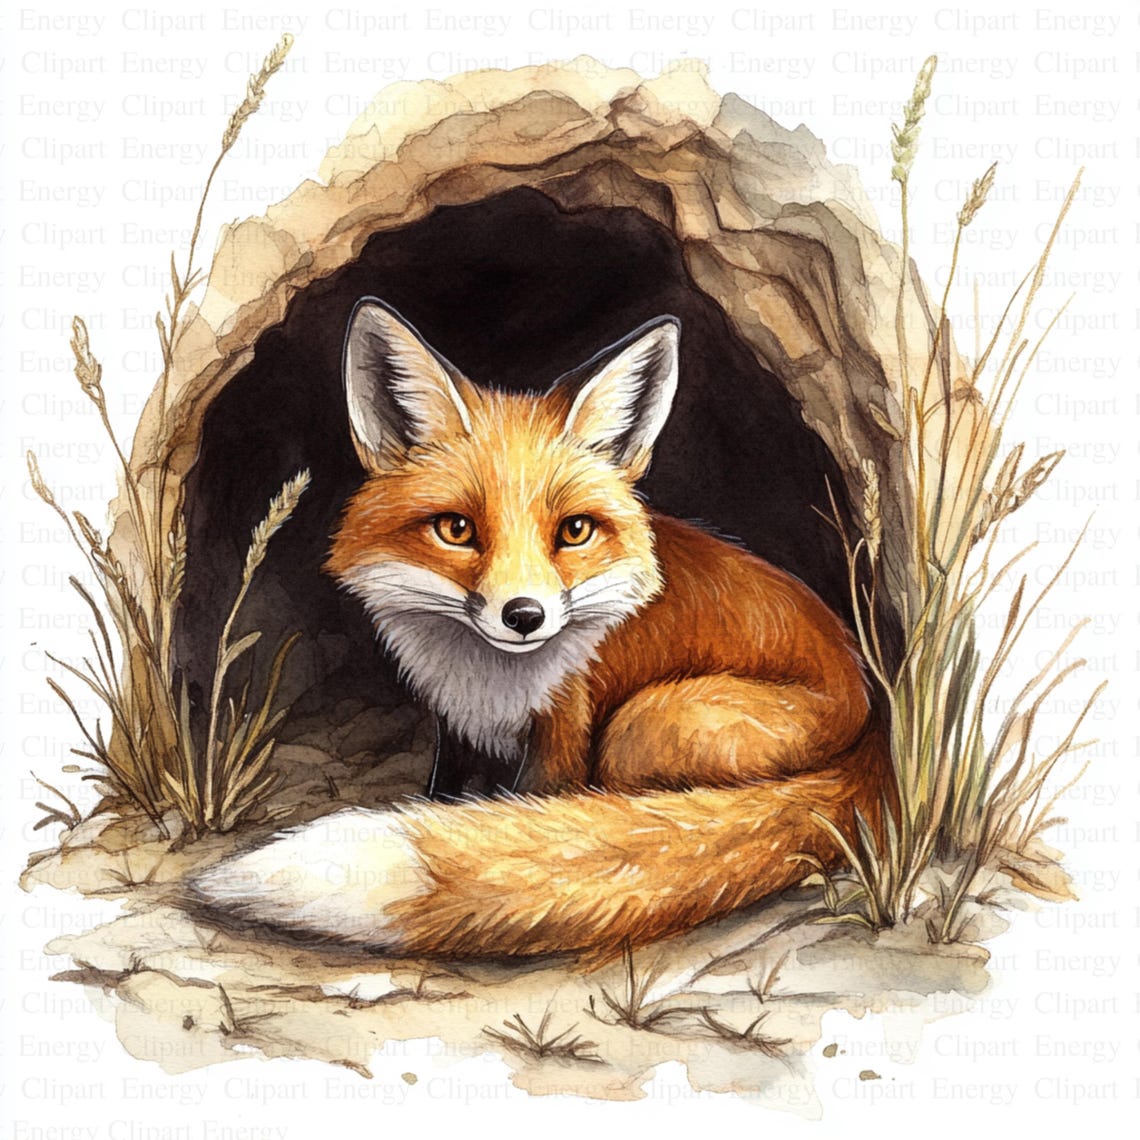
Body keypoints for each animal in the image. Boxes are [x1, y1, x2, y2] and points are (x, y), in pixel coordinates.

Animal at [190, 297, 892, 962]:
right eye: (457, 529)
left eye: (574, 531)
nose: (524, 615)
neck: (489, 681)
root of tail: (874, 732)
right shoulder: (454, 722)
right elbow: (444, 796)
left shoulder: (564, 732)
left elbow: (544, 807)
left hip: (644, 723)